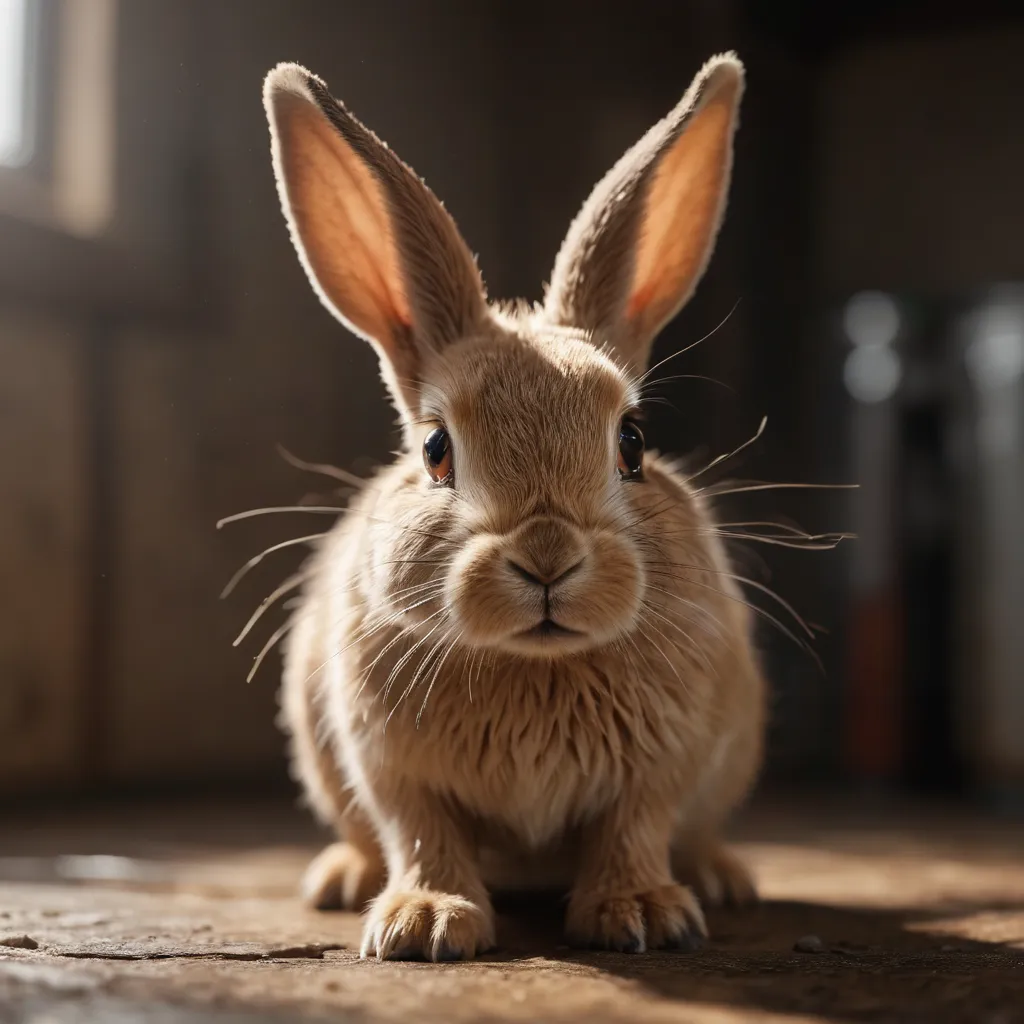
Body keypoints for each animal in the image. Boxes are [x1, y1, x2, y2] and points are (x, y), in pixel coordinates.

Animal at [262, 51, 765, 962]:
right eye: (436, 450)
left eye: (632, 441)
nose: (548, 557)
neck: (537, 662)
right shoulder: (391, 770)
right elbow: (422, 834)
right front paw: (423, 923)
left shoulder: (660, 769)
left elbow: (635, 826)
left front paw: (643, 914)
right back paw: (343, 880)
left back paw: (720, 877)